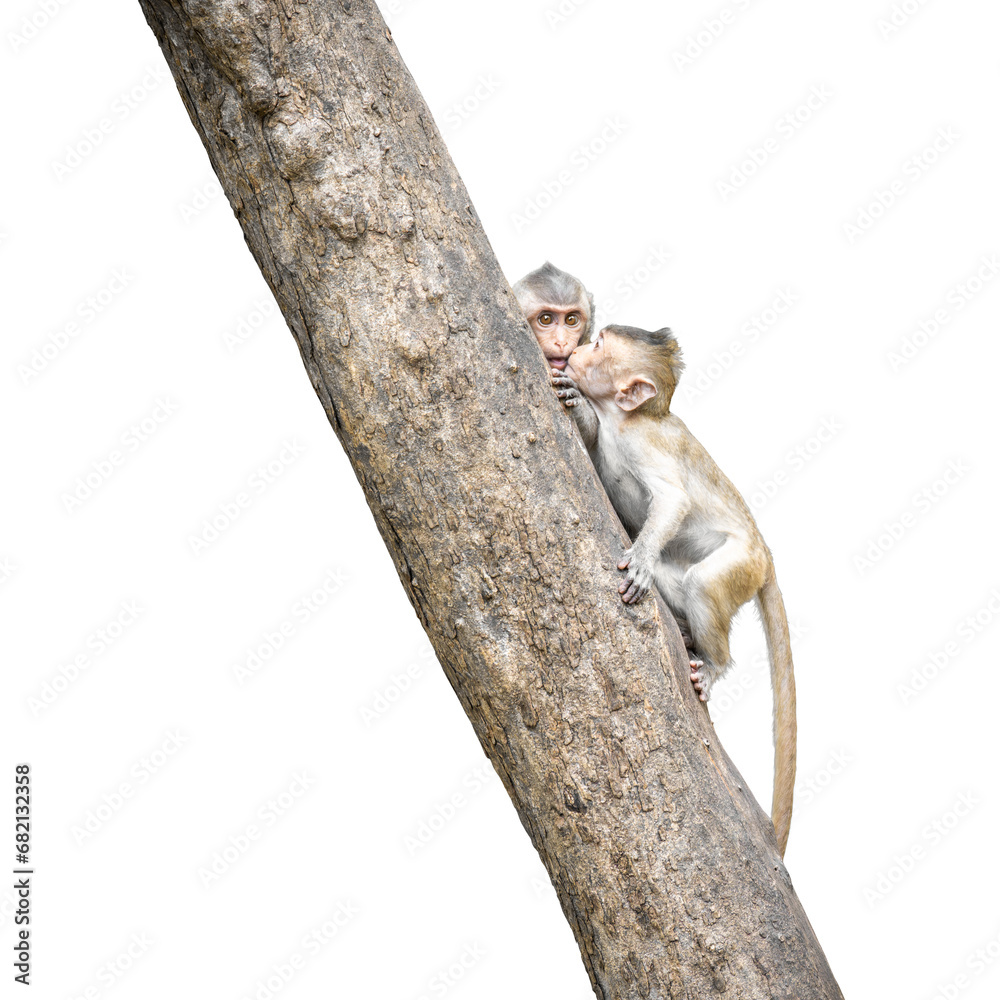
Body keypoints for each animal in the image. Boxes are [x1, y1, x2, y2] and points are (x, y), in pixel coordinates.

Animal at [561, 324, 796, 855]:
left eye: (599, 346)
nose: (576, 351)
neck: (624, 418)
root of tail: (766, 553)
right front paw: (576, 404)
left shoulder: (643, 442)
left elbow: (672, 500)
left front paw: (641, 559)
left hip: (741, 563)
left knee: (703, 582)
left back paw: (713, 663)